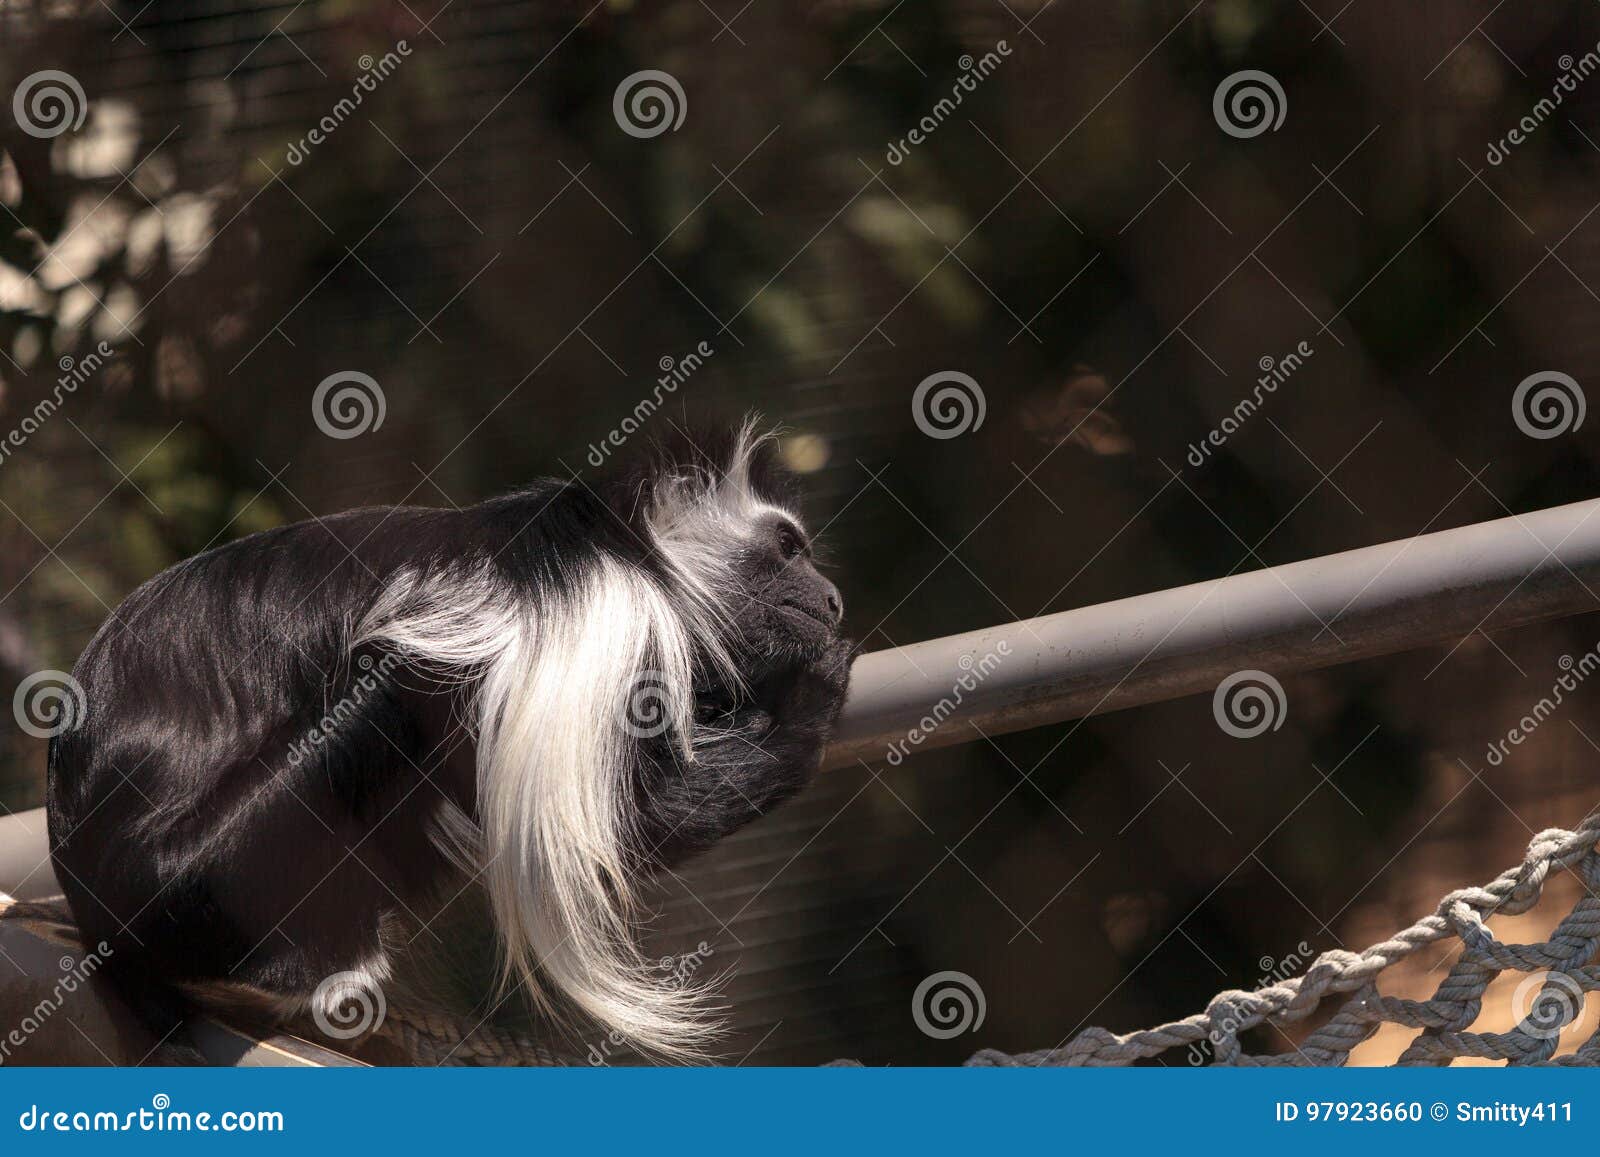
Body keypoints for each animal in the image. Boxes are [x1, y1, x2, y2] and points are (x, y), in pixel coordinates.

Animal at [44, 420, 852, 1060]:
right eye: (788, 547)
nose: (834, 598)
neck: (647, 557)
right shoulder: (597, 614)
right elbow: (622, 827)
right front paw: (809, 701)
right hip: (185, 877)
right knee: (385, 687)